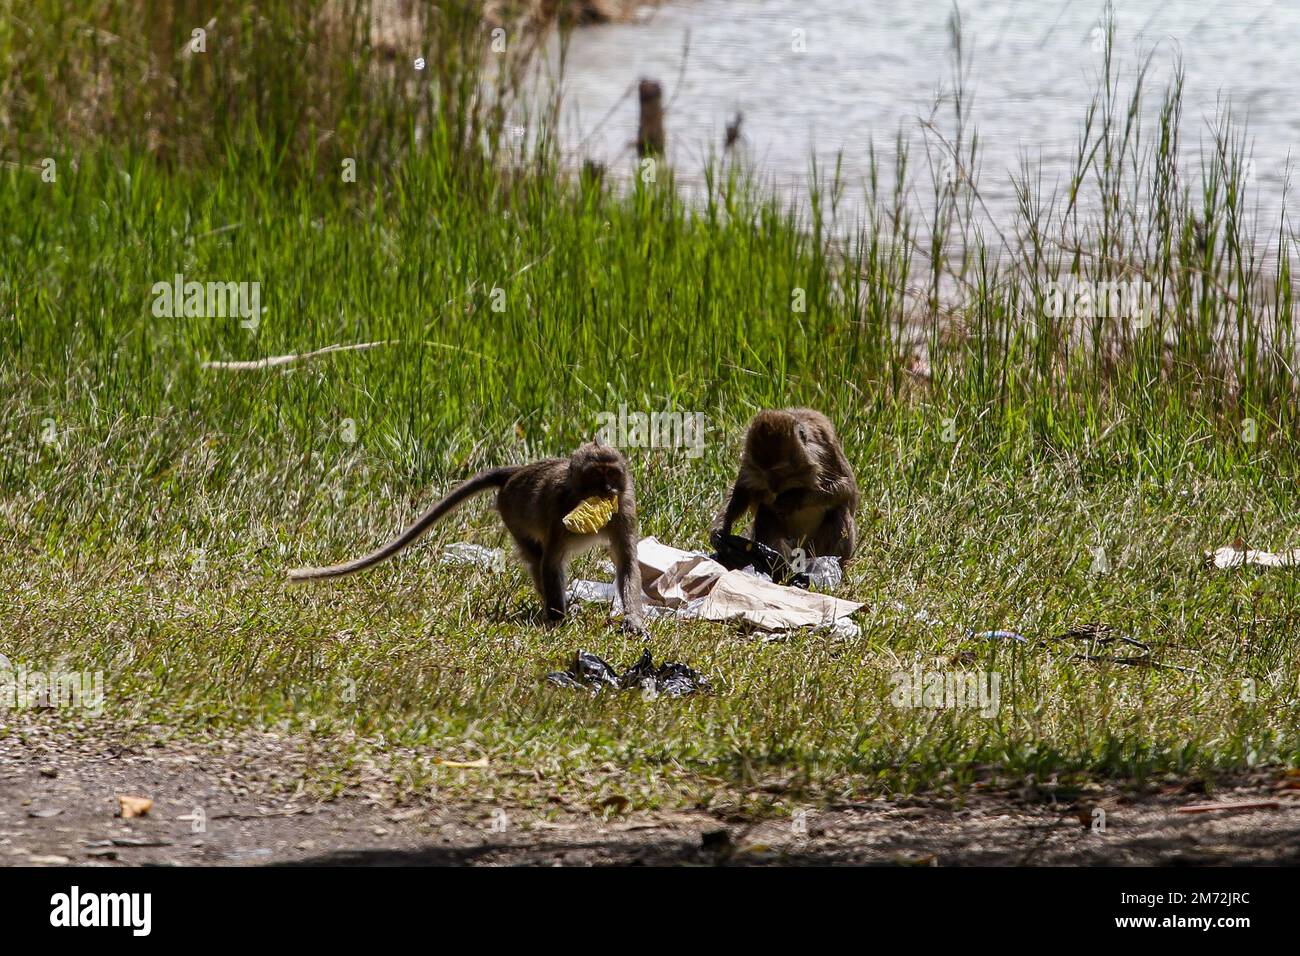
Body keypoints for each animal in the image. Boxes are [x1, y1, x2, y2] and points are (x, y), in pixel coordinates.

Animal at [288, 442, 645, 632]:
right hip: (510, 512)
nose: (608, 489)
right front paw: (558, 621)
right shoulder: (559, 510)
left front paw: (633, 620)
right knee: (536, 559)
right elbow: (551, 563)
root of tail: (515, 472)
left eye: (612, 475)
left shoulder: (624, 510)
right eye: (595, 476)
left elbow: (627, 563)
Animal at [713, 408, 859, 567]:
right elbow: (743, 490)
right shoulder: (748, 463)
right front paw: (721, 527)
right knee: (766, 512)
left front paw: (793, 499)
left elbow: (847, 488)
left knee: (839, 512)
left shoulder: (827, 447)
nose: (773, 486)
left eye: (780, 472)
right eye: (761, 471)